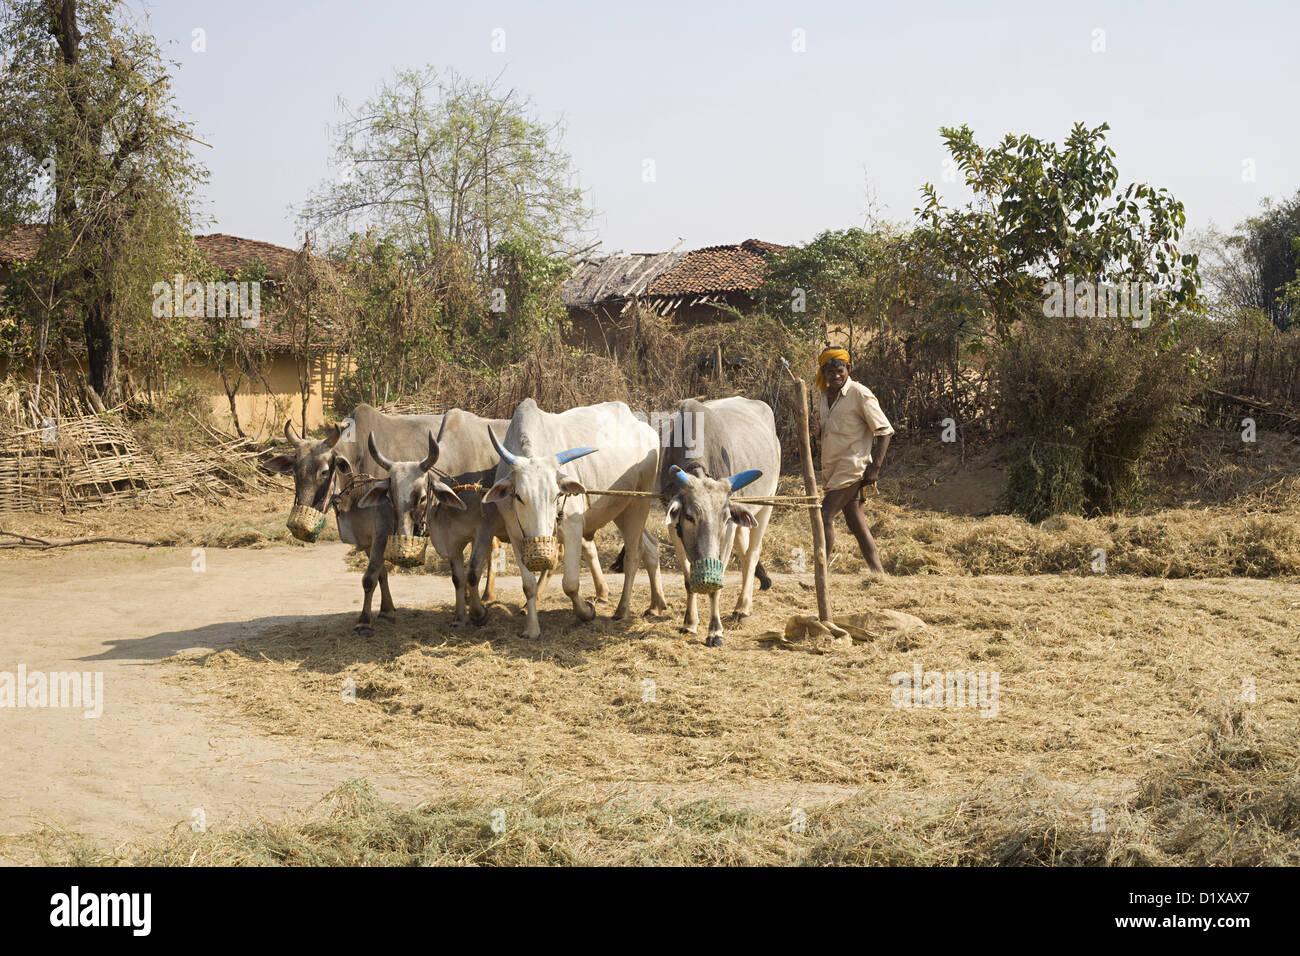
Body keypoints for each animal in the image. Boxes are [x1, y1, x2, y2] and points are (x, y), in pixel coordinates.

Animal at [361, 408, 611, 624]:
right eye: (390, 497)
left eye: (422, 497)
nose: (402, 551)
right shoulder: (453, 539)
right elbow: (458, 577)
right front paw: (460, 616)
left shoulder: (484, 529)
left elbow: (473, 573)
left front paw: (478, 613)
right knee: (585, 546)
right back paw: (601, 593)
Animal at [484, 398, 668, 639]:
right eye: (518, 496)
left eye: (556, 495)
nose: (540, 555)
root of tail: (646, 429)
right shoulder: (515, 534)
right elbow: (528, 586)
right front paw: (531, 629)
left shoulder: (572, 527)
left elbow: (570, 584)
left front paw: (587, 612)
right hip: (620, 509)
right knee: (650, 547)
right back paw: (657, 605)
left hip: (639, 504)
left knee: (633, 555)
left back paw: (622, 609)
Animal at [658, 397, 780, 646]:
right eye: (690, 517)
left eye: (724, 519)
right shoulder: (674, 530)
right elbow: (688, 579)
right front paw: (689, 623)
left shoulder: (730, 528)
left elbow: (718, 584)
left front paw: (715, 631)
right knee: (744, 553)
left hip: (766, 506)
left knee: (752, 553)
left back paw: (743, 607)